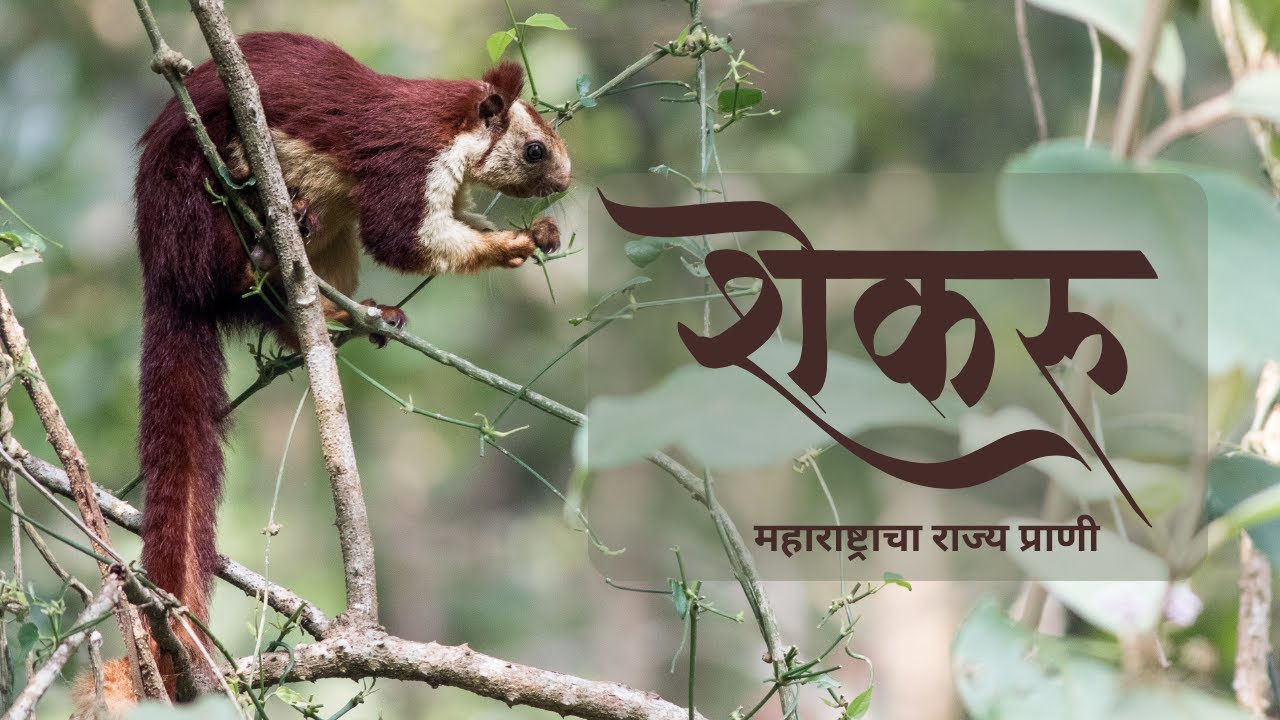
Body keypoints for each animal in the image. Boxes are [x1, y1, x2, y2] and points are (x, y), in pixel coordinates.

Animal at [77, 31, 571, 713]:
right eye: (534, 149)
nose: (567, 181)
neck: (453, 124)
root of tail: (165, 275)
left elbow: (461, 222)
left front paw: (538, 232)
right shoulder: (406, 162)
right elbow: (404, 239)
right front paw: (514, 242)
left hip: (333, 233)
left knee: (290, 302)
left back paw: (355, 313)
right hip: (203, 200)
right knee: (236, 252)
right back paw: (263, 254)